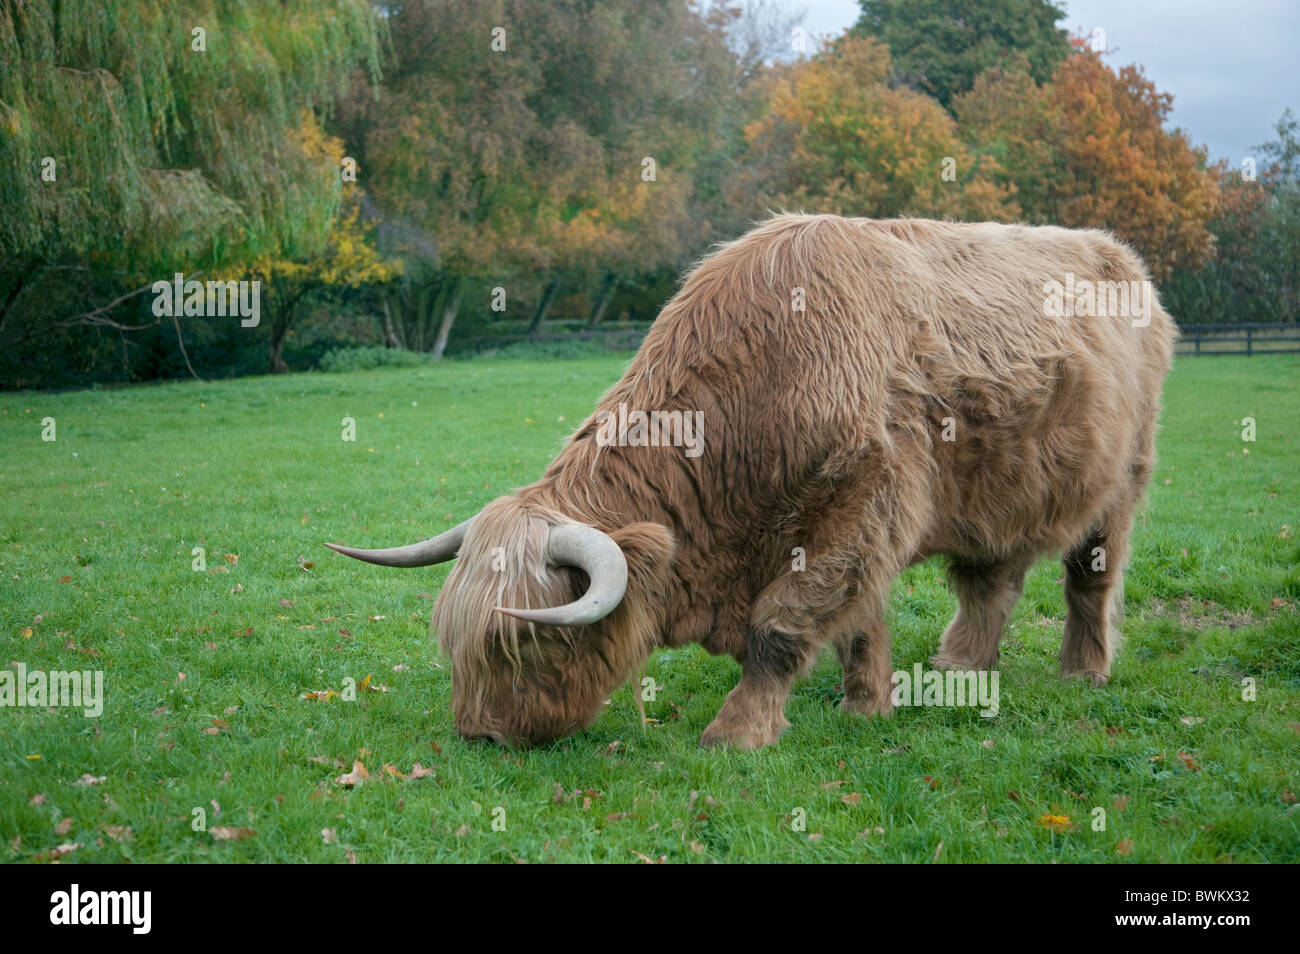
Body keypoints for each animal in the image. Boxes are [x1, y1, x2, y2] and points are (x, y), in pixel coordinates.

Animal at [327, 212, 1176, 750]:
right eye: (455, 639)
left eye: (523, 640)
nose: (480, 733)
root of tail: (1124, 259)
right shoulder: (867, 524)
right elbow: (860, 623)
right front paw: (870, 705)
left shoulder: (855, 509)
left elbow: (786, 622)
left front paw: (740, 731)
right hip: (995, 489)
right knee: (989, 580)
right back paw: (960, 665)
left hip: (1123, 481)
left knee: (1089, 579)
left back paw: (1083, 672)